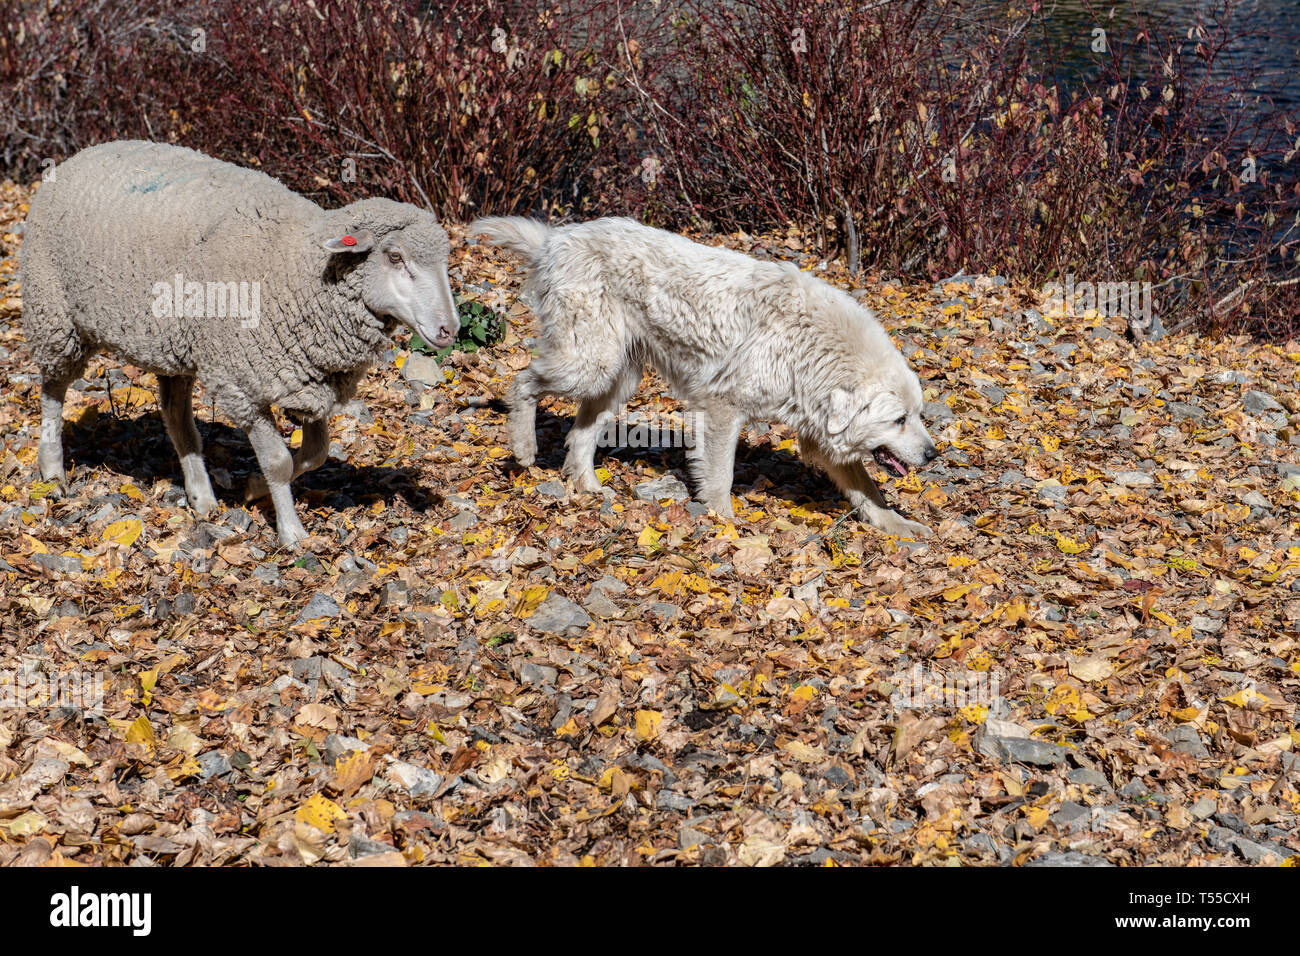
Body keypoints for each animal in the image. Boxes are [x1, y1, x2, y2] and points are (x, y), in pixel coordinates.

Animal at [18, 140, 459, 547]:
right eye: (395, 256)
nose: (449, 329)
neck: (297, 267)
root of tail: (86, 152)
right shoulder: (242, 384)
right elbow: (280, 461)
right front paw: (291, 532)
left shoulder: (309, 378)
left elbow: (316, 453)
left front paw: (253, 487)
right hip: (55, 313)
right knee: (53, 390)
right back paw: (52, 469)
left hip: (176, 344)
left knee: (175, 414)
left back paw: (201, 495)